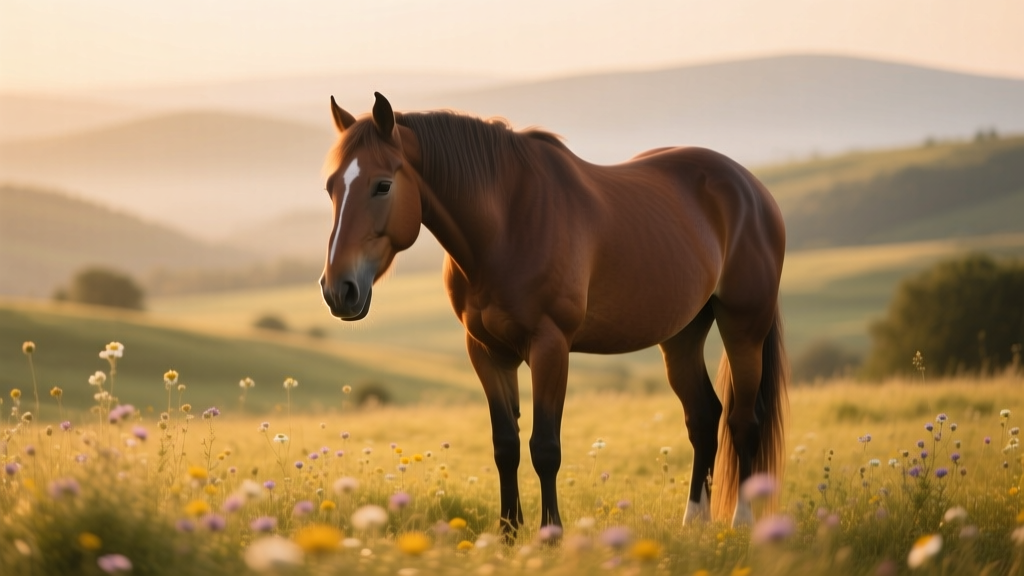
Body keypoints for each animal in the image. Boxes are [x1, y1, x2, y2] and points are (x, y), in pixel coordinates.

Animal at [320, 92, 788, 538]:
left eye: (382, 185)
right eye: (330, 188)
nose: (338, 290)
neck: (506, 226)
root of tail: (750, 187)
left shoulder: (549, 347)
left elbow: (545, 448)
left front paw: (551, 534)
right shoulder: (486, 351)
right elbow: (505, 445)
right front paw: (508, 533)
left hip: (744, 327)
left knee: (743, 420)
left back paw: (742, 524)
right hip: (682, 335)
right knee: (704, 418)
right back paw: (695, 523)